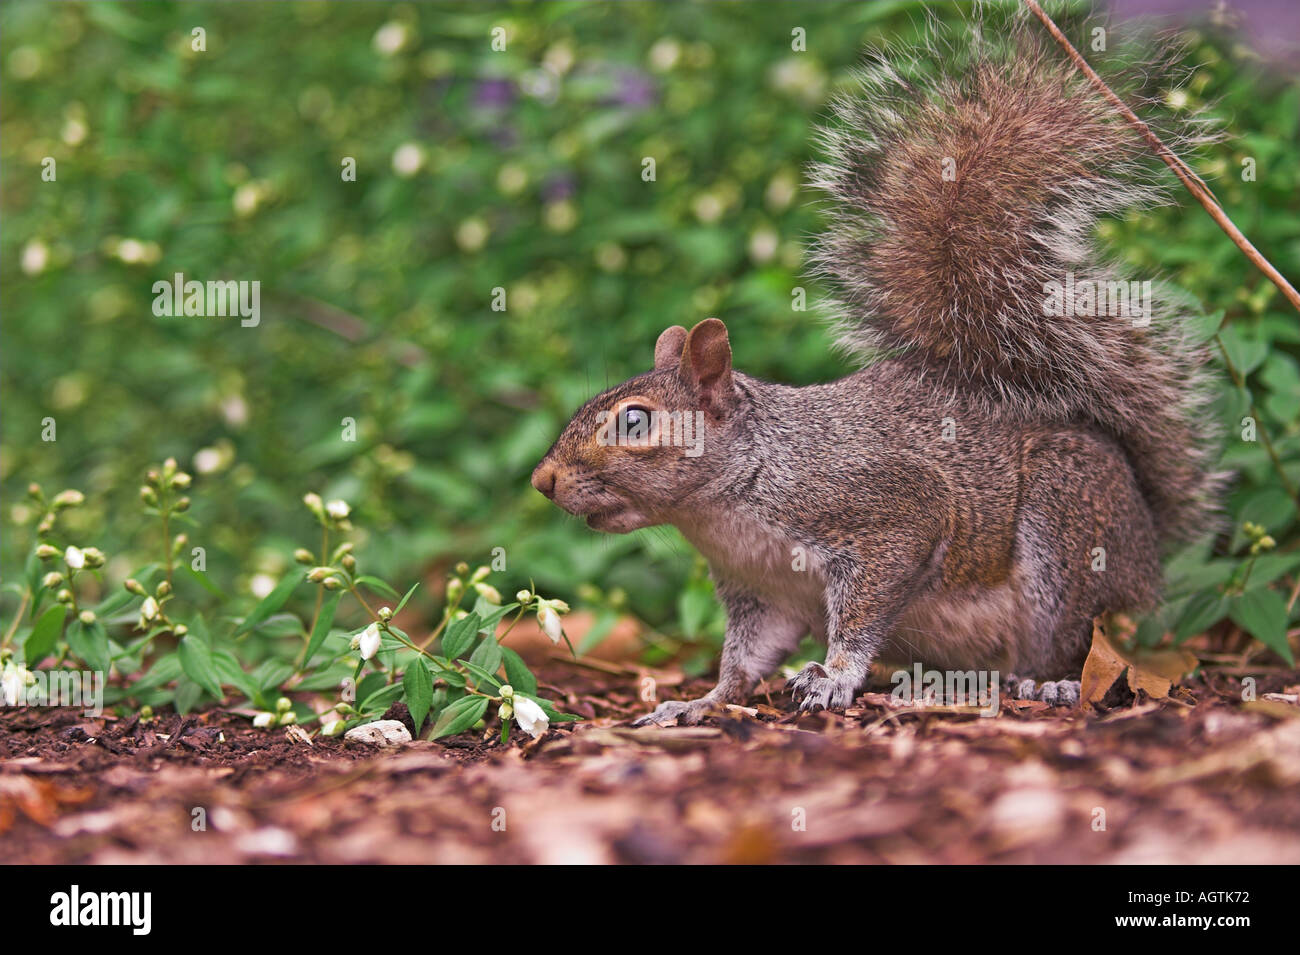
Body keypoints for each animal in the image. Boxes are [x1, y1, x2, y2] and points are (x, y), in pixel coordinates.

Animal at [531, 11, 1223, 723]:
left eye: (636, 422)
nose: (542, 480)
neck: (728, 506)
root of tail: (1150, 549)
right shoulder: (763, 591)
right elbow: (745, 659)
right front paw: (698, 703)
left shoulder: (884, 508)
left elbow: (866, 607)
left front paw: (834, 677)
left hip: (1070, 532)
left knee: (1080, 635)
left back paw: (1050, 683)